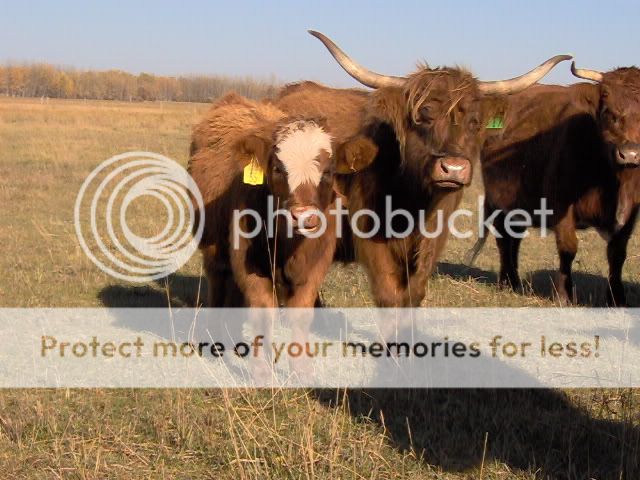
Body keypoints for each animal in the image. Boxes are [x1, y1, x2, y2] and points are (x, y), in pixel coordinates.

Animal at [189, 92, 377, 309]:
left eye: (328, 171)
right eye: (278, 169)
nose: (303, 216)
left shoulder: (311, 274)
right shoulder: (251, 275)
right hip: (213, 253)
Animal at [275, 31, 571, 307]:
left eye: (475, 122)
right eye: (424, 116)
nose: (453, 168)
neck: (413, 203)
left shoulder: (432, 239)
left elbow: (414, 295)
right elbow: (389, 295)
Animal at [466, 62, 640, 306]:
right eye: (607, 106)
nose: (630, 154)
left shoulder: (630, 215)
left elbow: (617, 254)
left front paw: (617, 298)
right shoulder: (561, 207)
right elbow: (568, 248)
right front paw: (564, 295)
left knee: (515, 238)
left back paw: (515, 282)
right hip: (500, 201)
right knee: (503, 238)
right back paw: (506, 282)